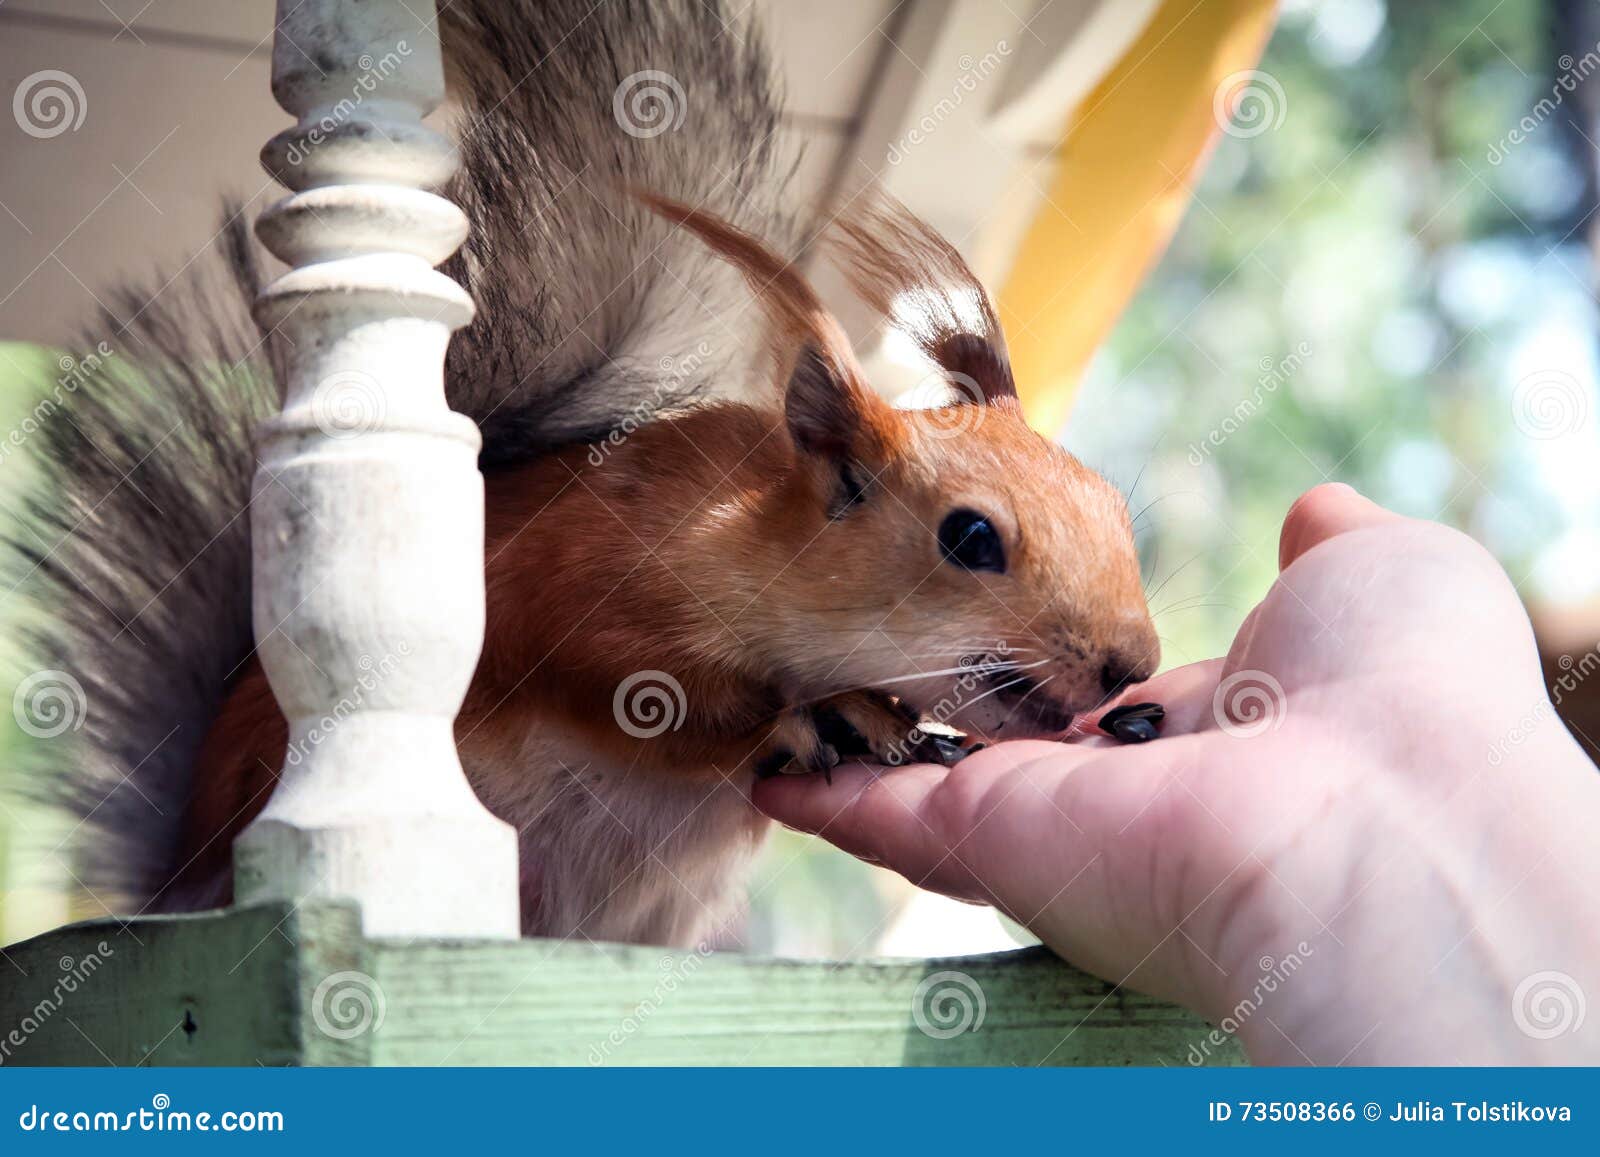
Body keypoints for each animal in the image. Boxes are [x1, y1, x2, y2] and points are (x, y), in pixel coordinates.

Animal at [10, 0, 1157, 948]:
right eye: (971, 536)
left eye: (1111, 501)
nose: (1133, 667)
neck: (756, 547)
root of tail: (181, 880)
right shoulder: (581, 591)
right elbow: (631, 690)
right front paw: (817, 716)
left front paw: (876, 711)